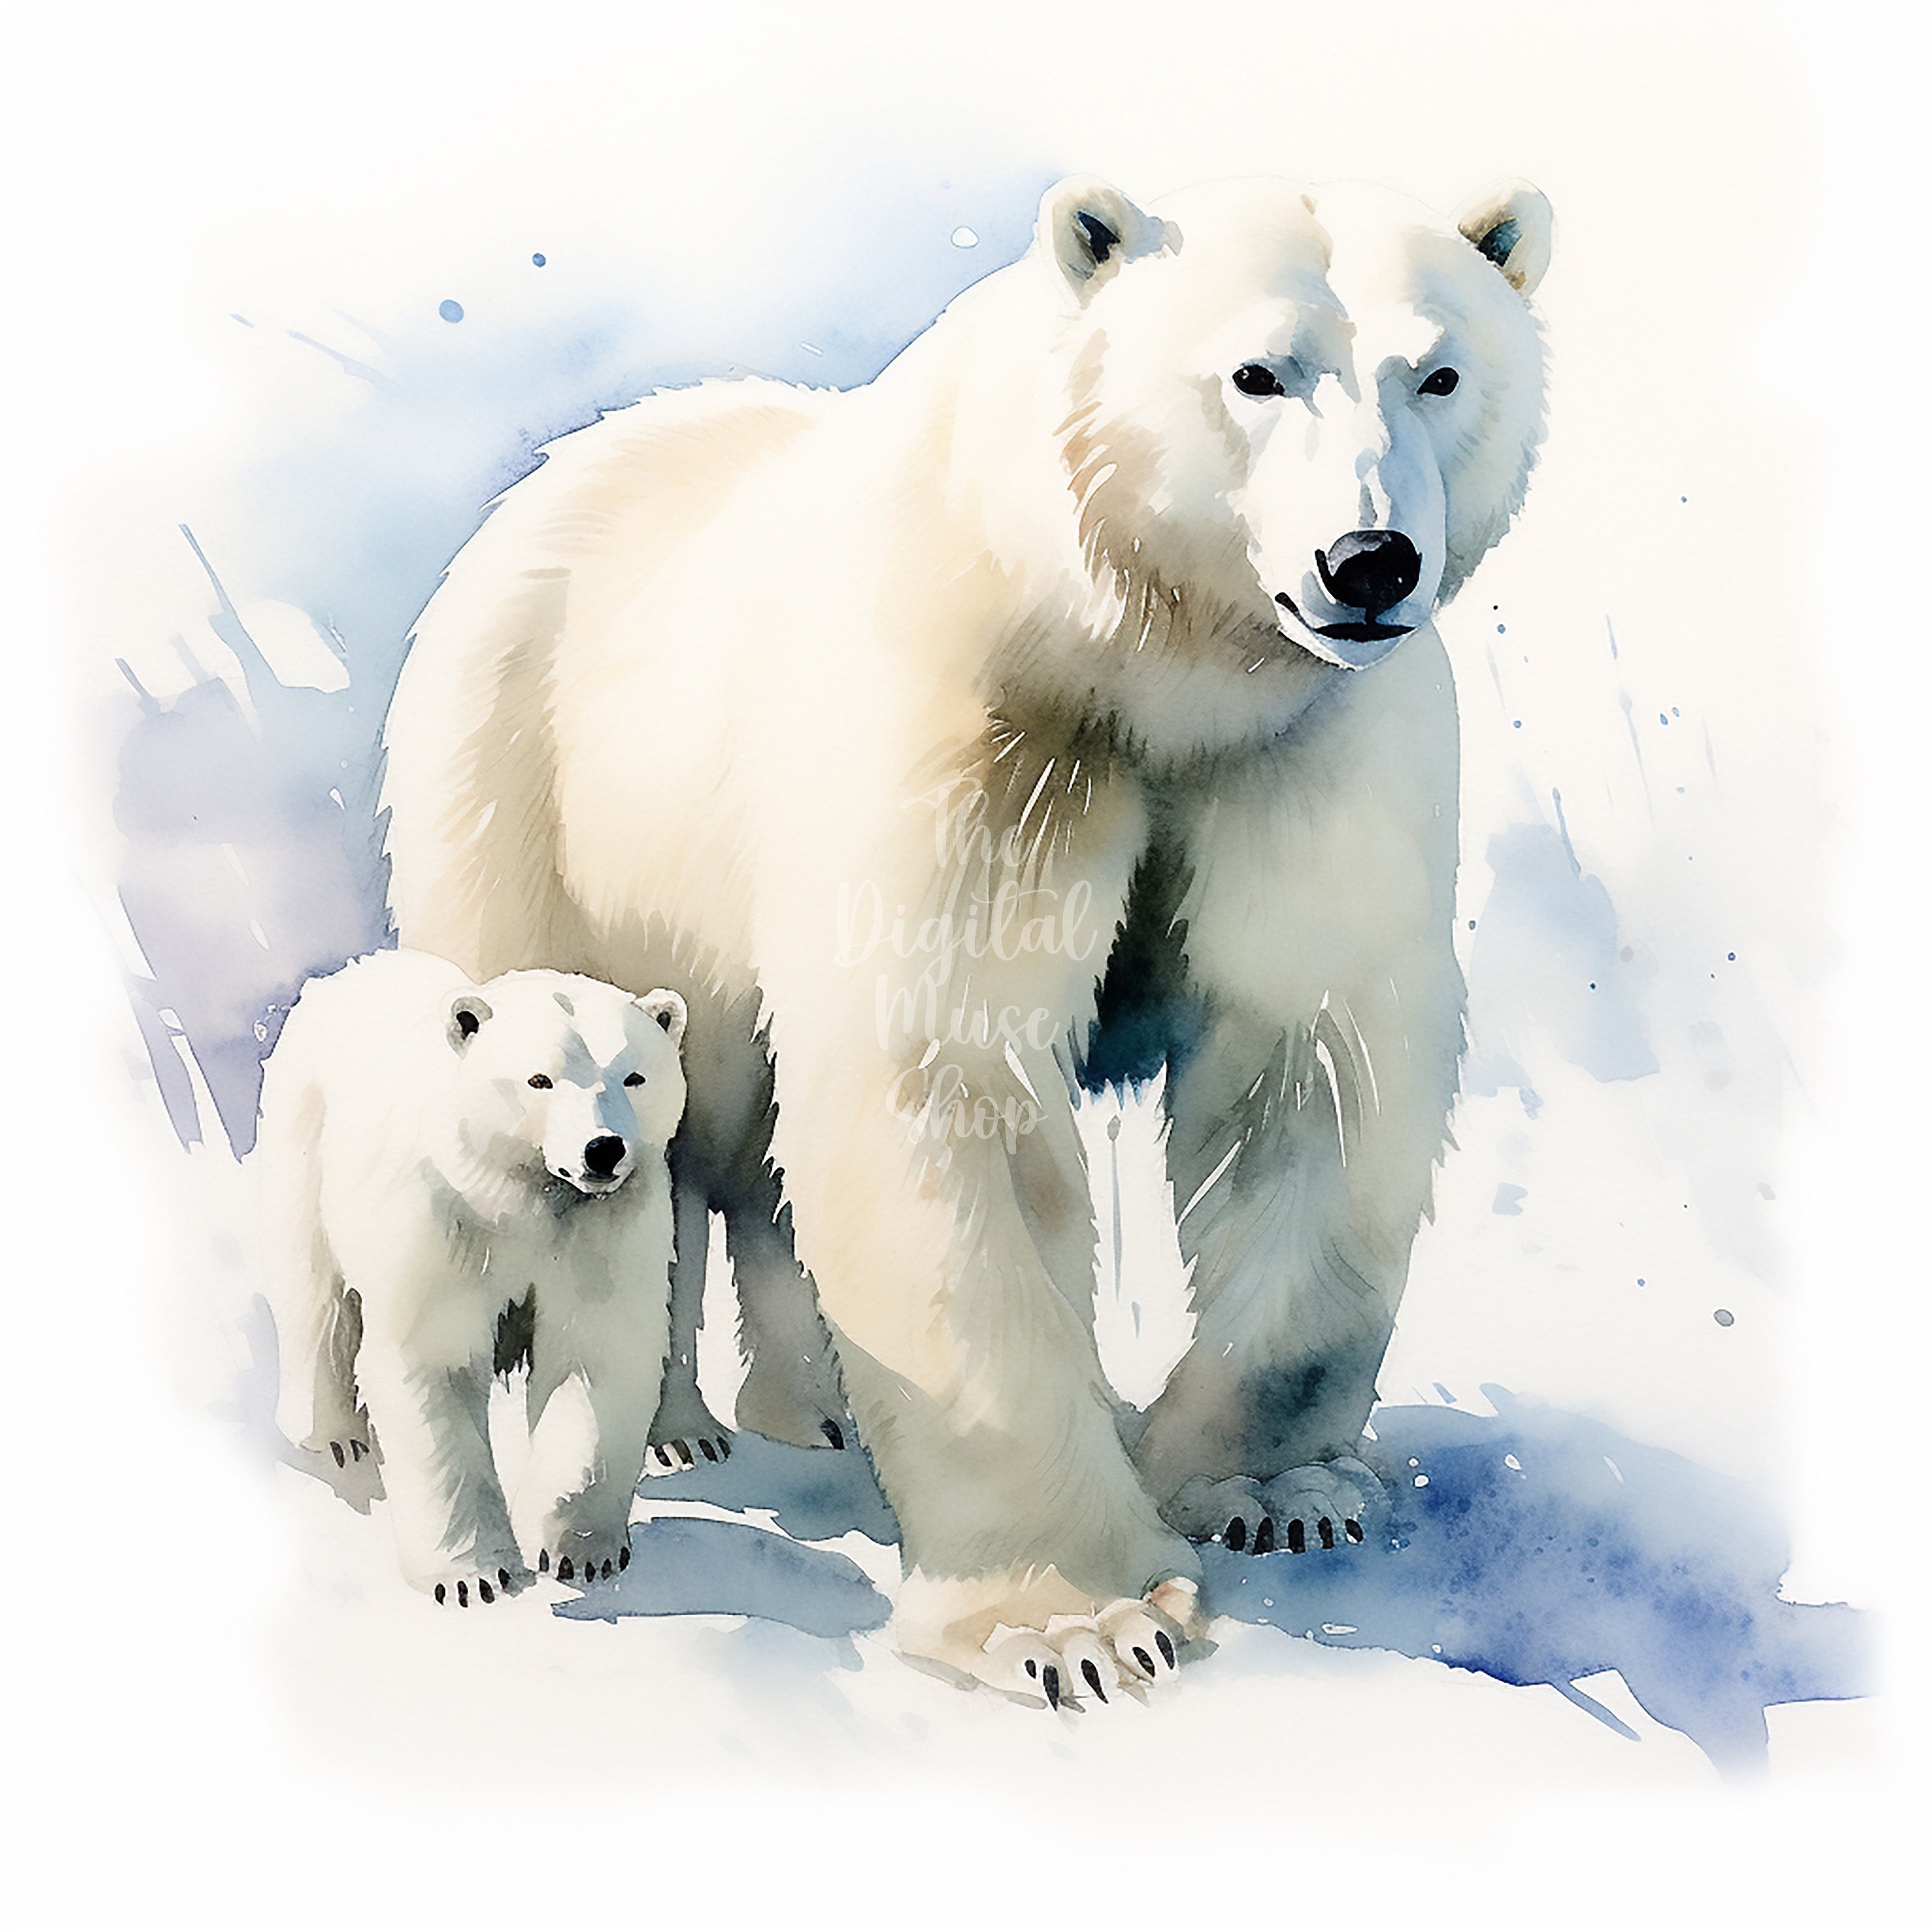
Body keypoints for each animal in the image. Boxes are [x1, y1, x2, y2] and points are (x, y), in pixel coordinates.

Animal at [259, 946, 689, 1602]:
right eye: (540, 1079)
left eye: (633, 1078)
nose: (603, 1149)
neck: (521, 1198)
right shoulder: (447, 1219)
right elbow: (436, 1358)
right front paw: (473, 1577)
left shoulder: (603, 1229)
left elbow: (594, 1354)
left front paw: (577, 1551)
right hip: (306, 1133)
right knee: (316, 1291)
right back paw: (332, 1435)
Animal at [378, 172, 1552, 1696]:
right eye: (1257, 372)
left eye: (1440, 372)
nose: (1368, 563)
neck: (1142, 661)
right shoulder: (975, 723)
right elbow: (944, 1079)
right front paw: (1080, 1624)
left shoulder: (1302, 744)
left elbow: (1311, 1065)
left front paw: (1264, 1488)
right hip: (534, 793)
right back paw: (677, 1427)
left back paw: (804, 1408)